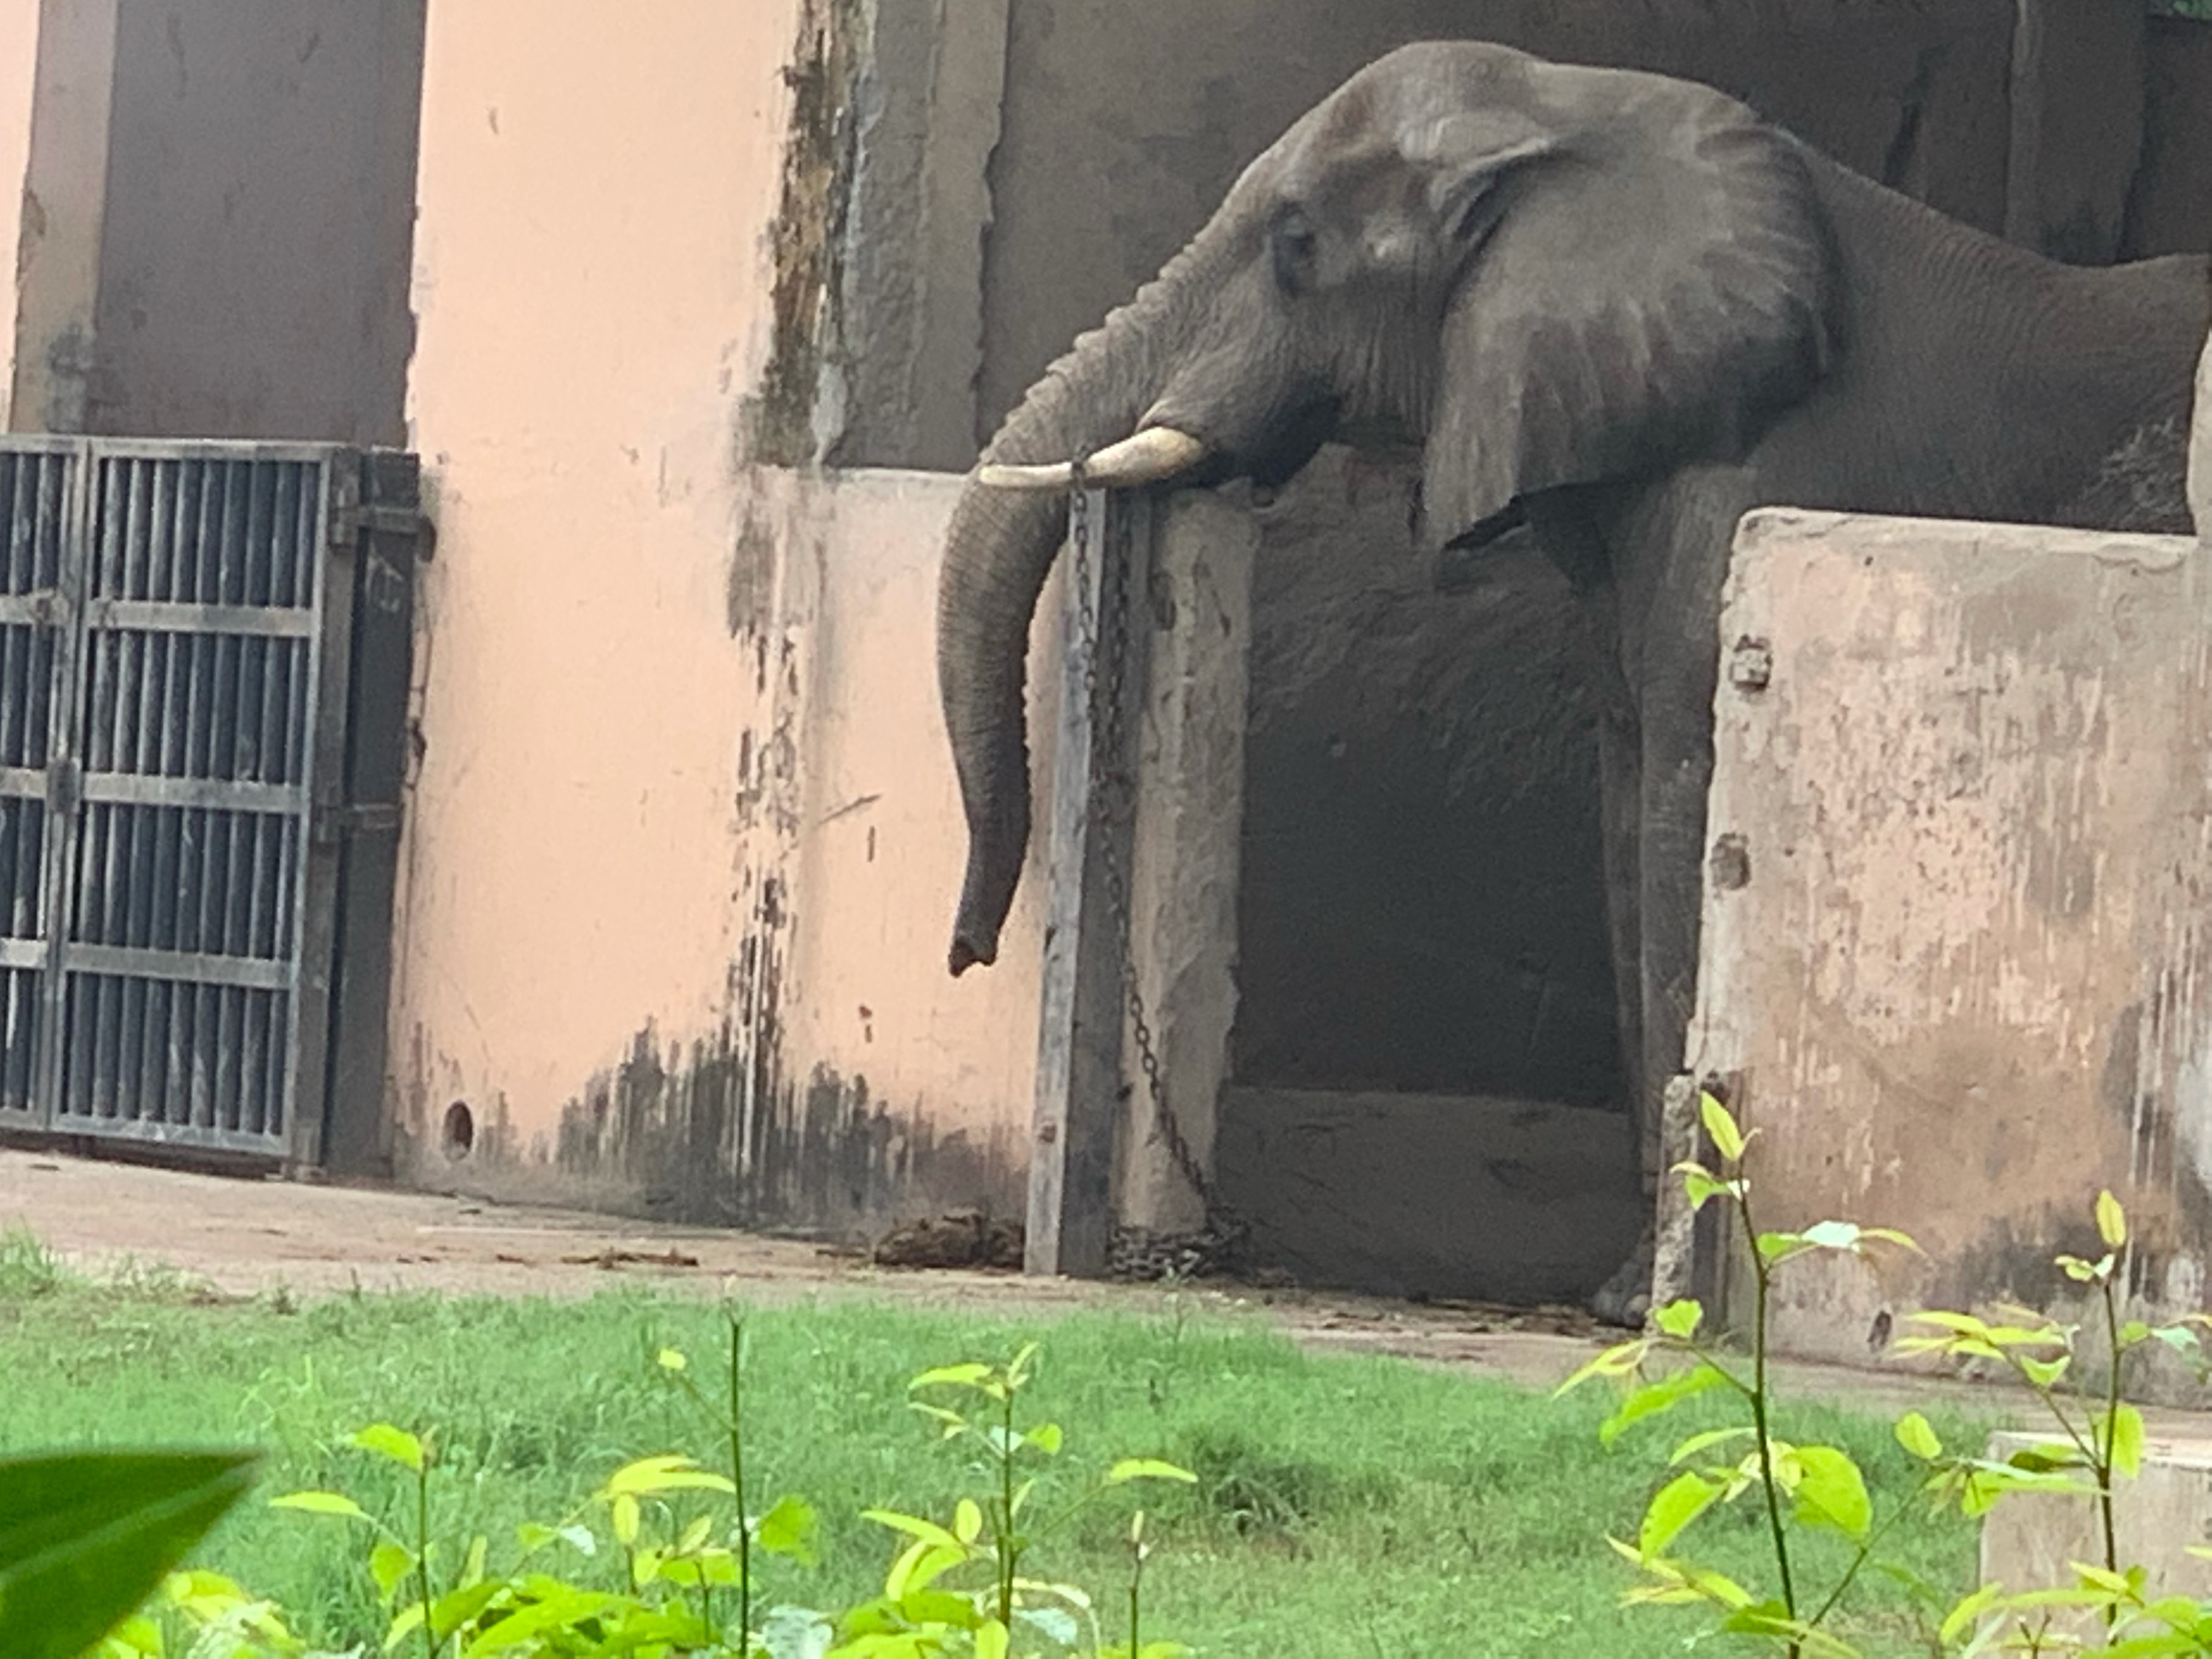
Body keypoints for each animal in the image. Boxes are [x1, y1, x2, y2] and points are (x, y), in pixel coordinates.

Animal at [934, 39, 2212, 1316]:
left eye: (1296, 246)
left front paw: (1644, 1306)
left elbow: (1684, 792)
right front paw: (1629, 1294)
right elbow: (1629, 789)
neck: (1583, 114)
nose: (967, 955)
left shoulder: (1747, 478)